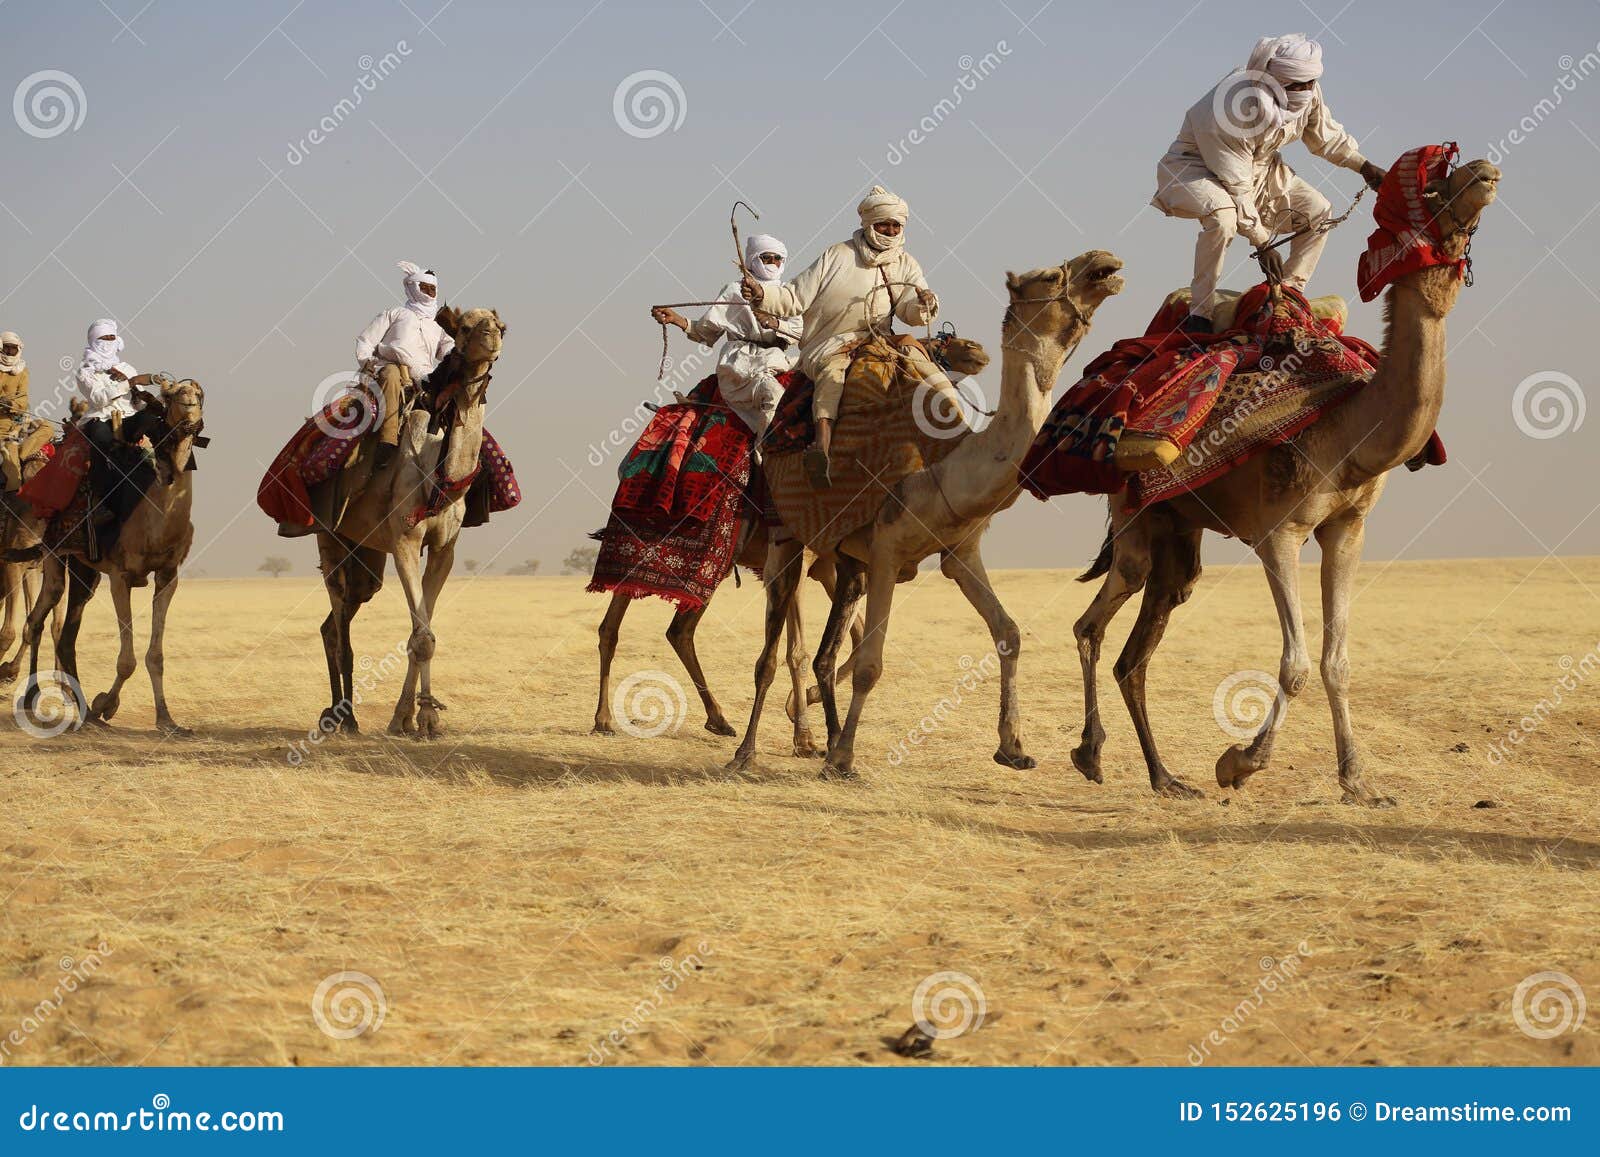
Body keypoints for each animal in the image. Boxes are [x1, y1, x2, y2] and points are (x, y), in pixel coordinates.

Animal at [20, 379, 205, 735]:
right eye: (170, 394)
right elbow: (127, 660)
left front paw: (167, 720)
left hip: (85, 569)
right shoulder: (121, 576)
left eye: (200, 394)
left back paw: (82, 710)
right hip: (54, 551)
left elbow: (154, 656)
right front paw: (106, 704)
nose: (188, 396)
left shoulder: (168, 575)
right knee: (40, 615)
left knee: (67, 633)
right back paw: (33, 699)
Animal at [314, 305, 504, 739]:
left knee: (339, 615)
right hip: (329, 535)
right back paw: (344, 717)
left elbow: (424, 631)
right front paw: (423, 718)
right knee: (338, 622)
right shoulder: (405, 539)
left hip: (364, 553)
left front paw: (411, 717)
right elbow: (421, 636)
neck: (441, 473)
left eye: (500, 325)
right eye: (465, 327)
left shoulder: (444, 549)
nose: (491, 335)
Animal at [728, 251, 1126, 777]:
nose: (1105, 262)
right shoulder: (886, 550)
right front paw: (845, 757)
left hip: (835, 557)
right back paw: (747, 750)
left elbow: (1008, 632)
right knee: (772, 653)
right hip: (786, 540)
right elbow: (871, 663)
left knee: (816, 649)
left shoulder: (960, 551)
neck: (944, 466)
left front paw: (1013, 746)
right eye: (1049, 276)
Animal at [1070, 158, 1500, 805]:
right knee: (1095, 620)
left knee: (1140, 644)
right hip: (1132, 510)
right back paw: (1091, 753)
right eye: (1433, 185)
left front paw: (1358, 782)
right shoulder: (1278, 532)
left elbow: (1336, 661)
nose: (1485, 170)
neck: (1351, 430)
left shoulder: (1348, 527)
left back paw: (1165, 777)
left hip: (1179, 529)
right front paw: (1239, 763)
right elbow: (1294, 664)